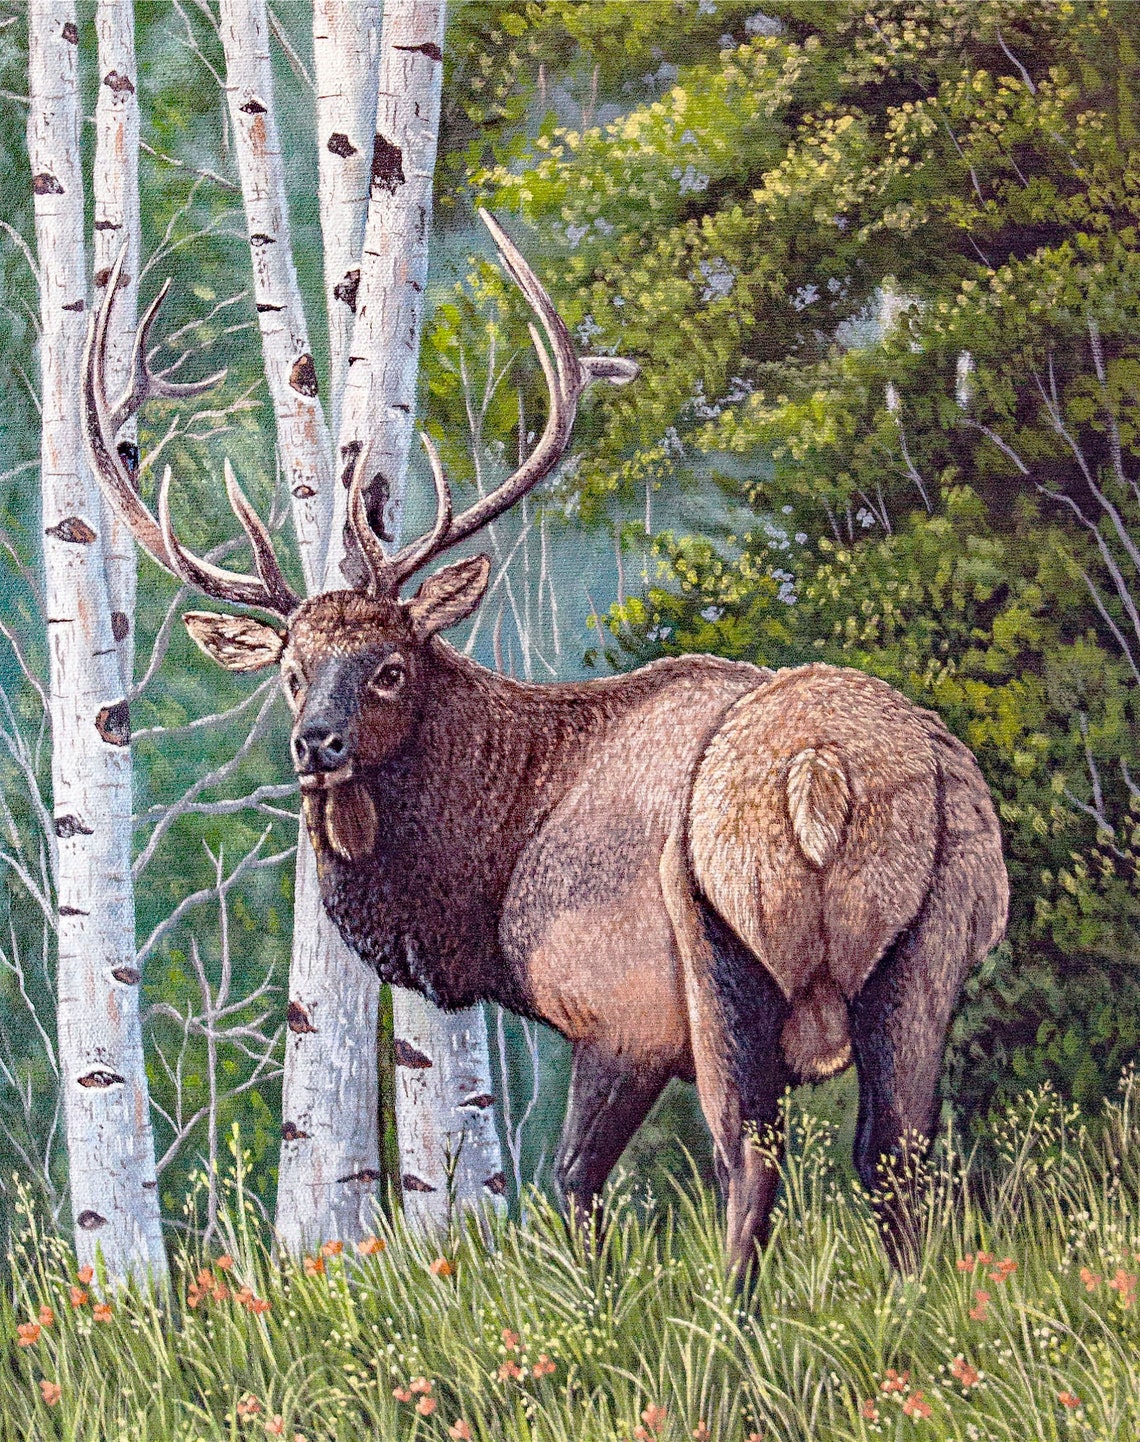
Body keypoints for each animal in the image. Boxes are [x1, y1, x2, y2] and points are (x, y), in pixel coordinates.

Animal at [82, 212, 1008, 1274]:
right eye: (289, 671)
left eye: (390, 666)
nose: (316, 745)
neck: (491, 881)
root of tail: (823, 770)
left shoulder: (618, 1012)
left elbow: (572, 1184)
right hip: (933, 942)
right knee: (896, 1156)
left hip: (715, 958)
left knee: (748, 1160)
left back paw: (727, 1315)